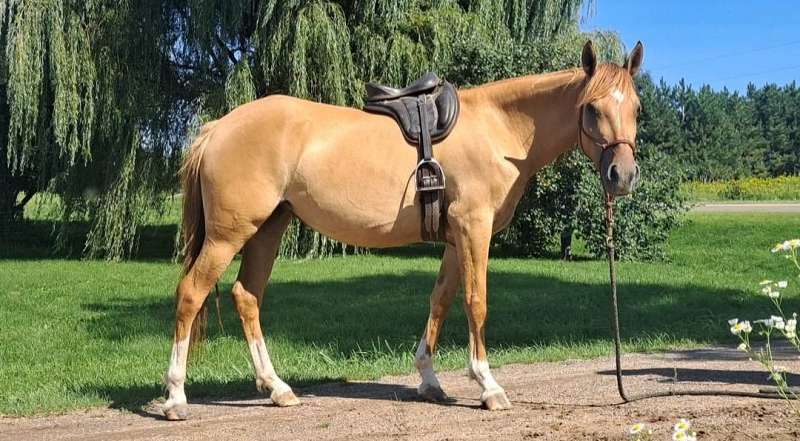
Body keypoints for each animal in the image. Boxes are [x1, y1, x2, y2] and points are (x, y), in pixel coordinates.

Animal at [162, 40, 644, 420]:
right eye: (592, 108)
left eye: (636, 108)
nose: (622, 175)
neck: (500, 129)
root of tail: (217, 127)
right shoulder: (474, 228)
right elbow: (476, 303)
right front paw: (488, 386)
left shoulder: (455, 238)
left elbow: (441, 300)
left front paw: (430, 381)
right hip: (228, 234)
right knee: (191, 293)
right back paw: (176, 397)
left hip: (267, 228)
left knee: (247, 296)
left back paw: (277, 388)